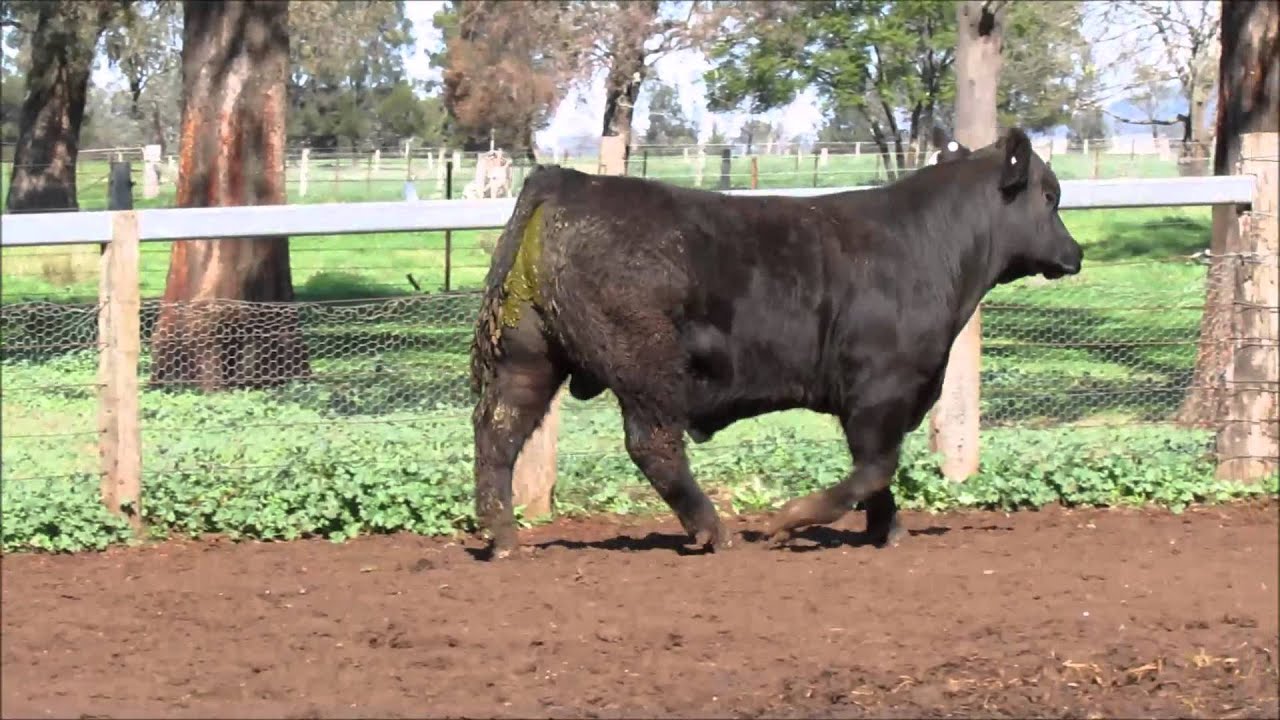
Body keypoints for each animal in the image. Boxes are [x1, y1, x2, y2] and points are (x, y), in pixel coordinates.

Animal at [468, 126, 1082, 559]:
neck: (926, 245)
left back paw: (505, 540)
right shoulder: (881, 390)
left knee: (498, 434)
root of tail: (571, 181)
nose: (1074, 253)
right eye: (1050, 195)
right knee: (654, 445)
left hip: (528, 358)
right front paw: (790, 519)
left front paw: (888, 531)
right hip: (645, 366)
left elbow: (875, 473)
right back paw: (714, 531)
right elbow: (875, 467)